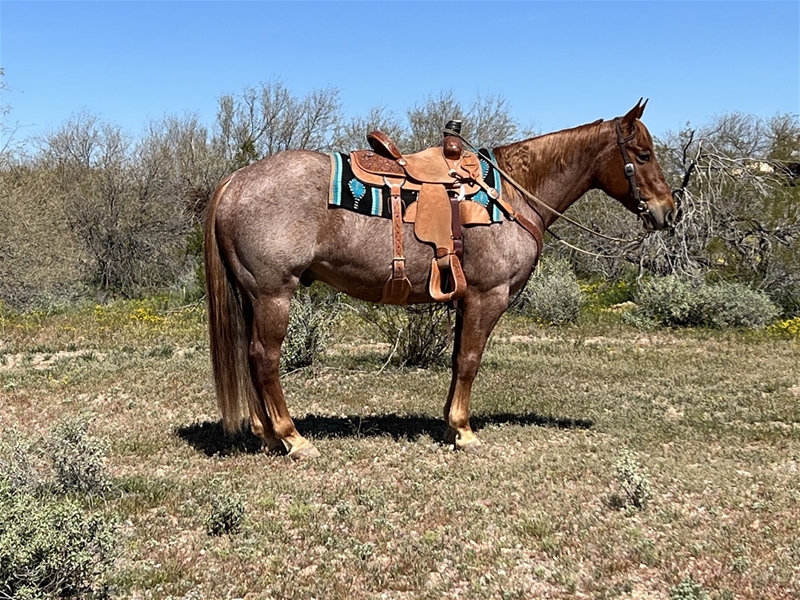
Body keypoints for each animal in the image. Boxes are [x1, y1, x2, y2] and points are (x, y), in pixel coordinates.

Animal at [204, 99, 677, 459]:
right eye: (644, 155)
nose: (666, 211)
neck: (511, 195)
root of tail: (234, 181)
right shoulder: (488, 296)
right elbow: (470, 360)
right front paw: (464, 431)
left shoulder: (466, 300)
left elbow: (456, 361)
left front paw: (450, 425)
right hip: (273, 295)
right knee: (265, 360)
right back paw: (293, 439)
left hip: (253, 297)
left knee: (251, 359)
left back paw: (268, 436)